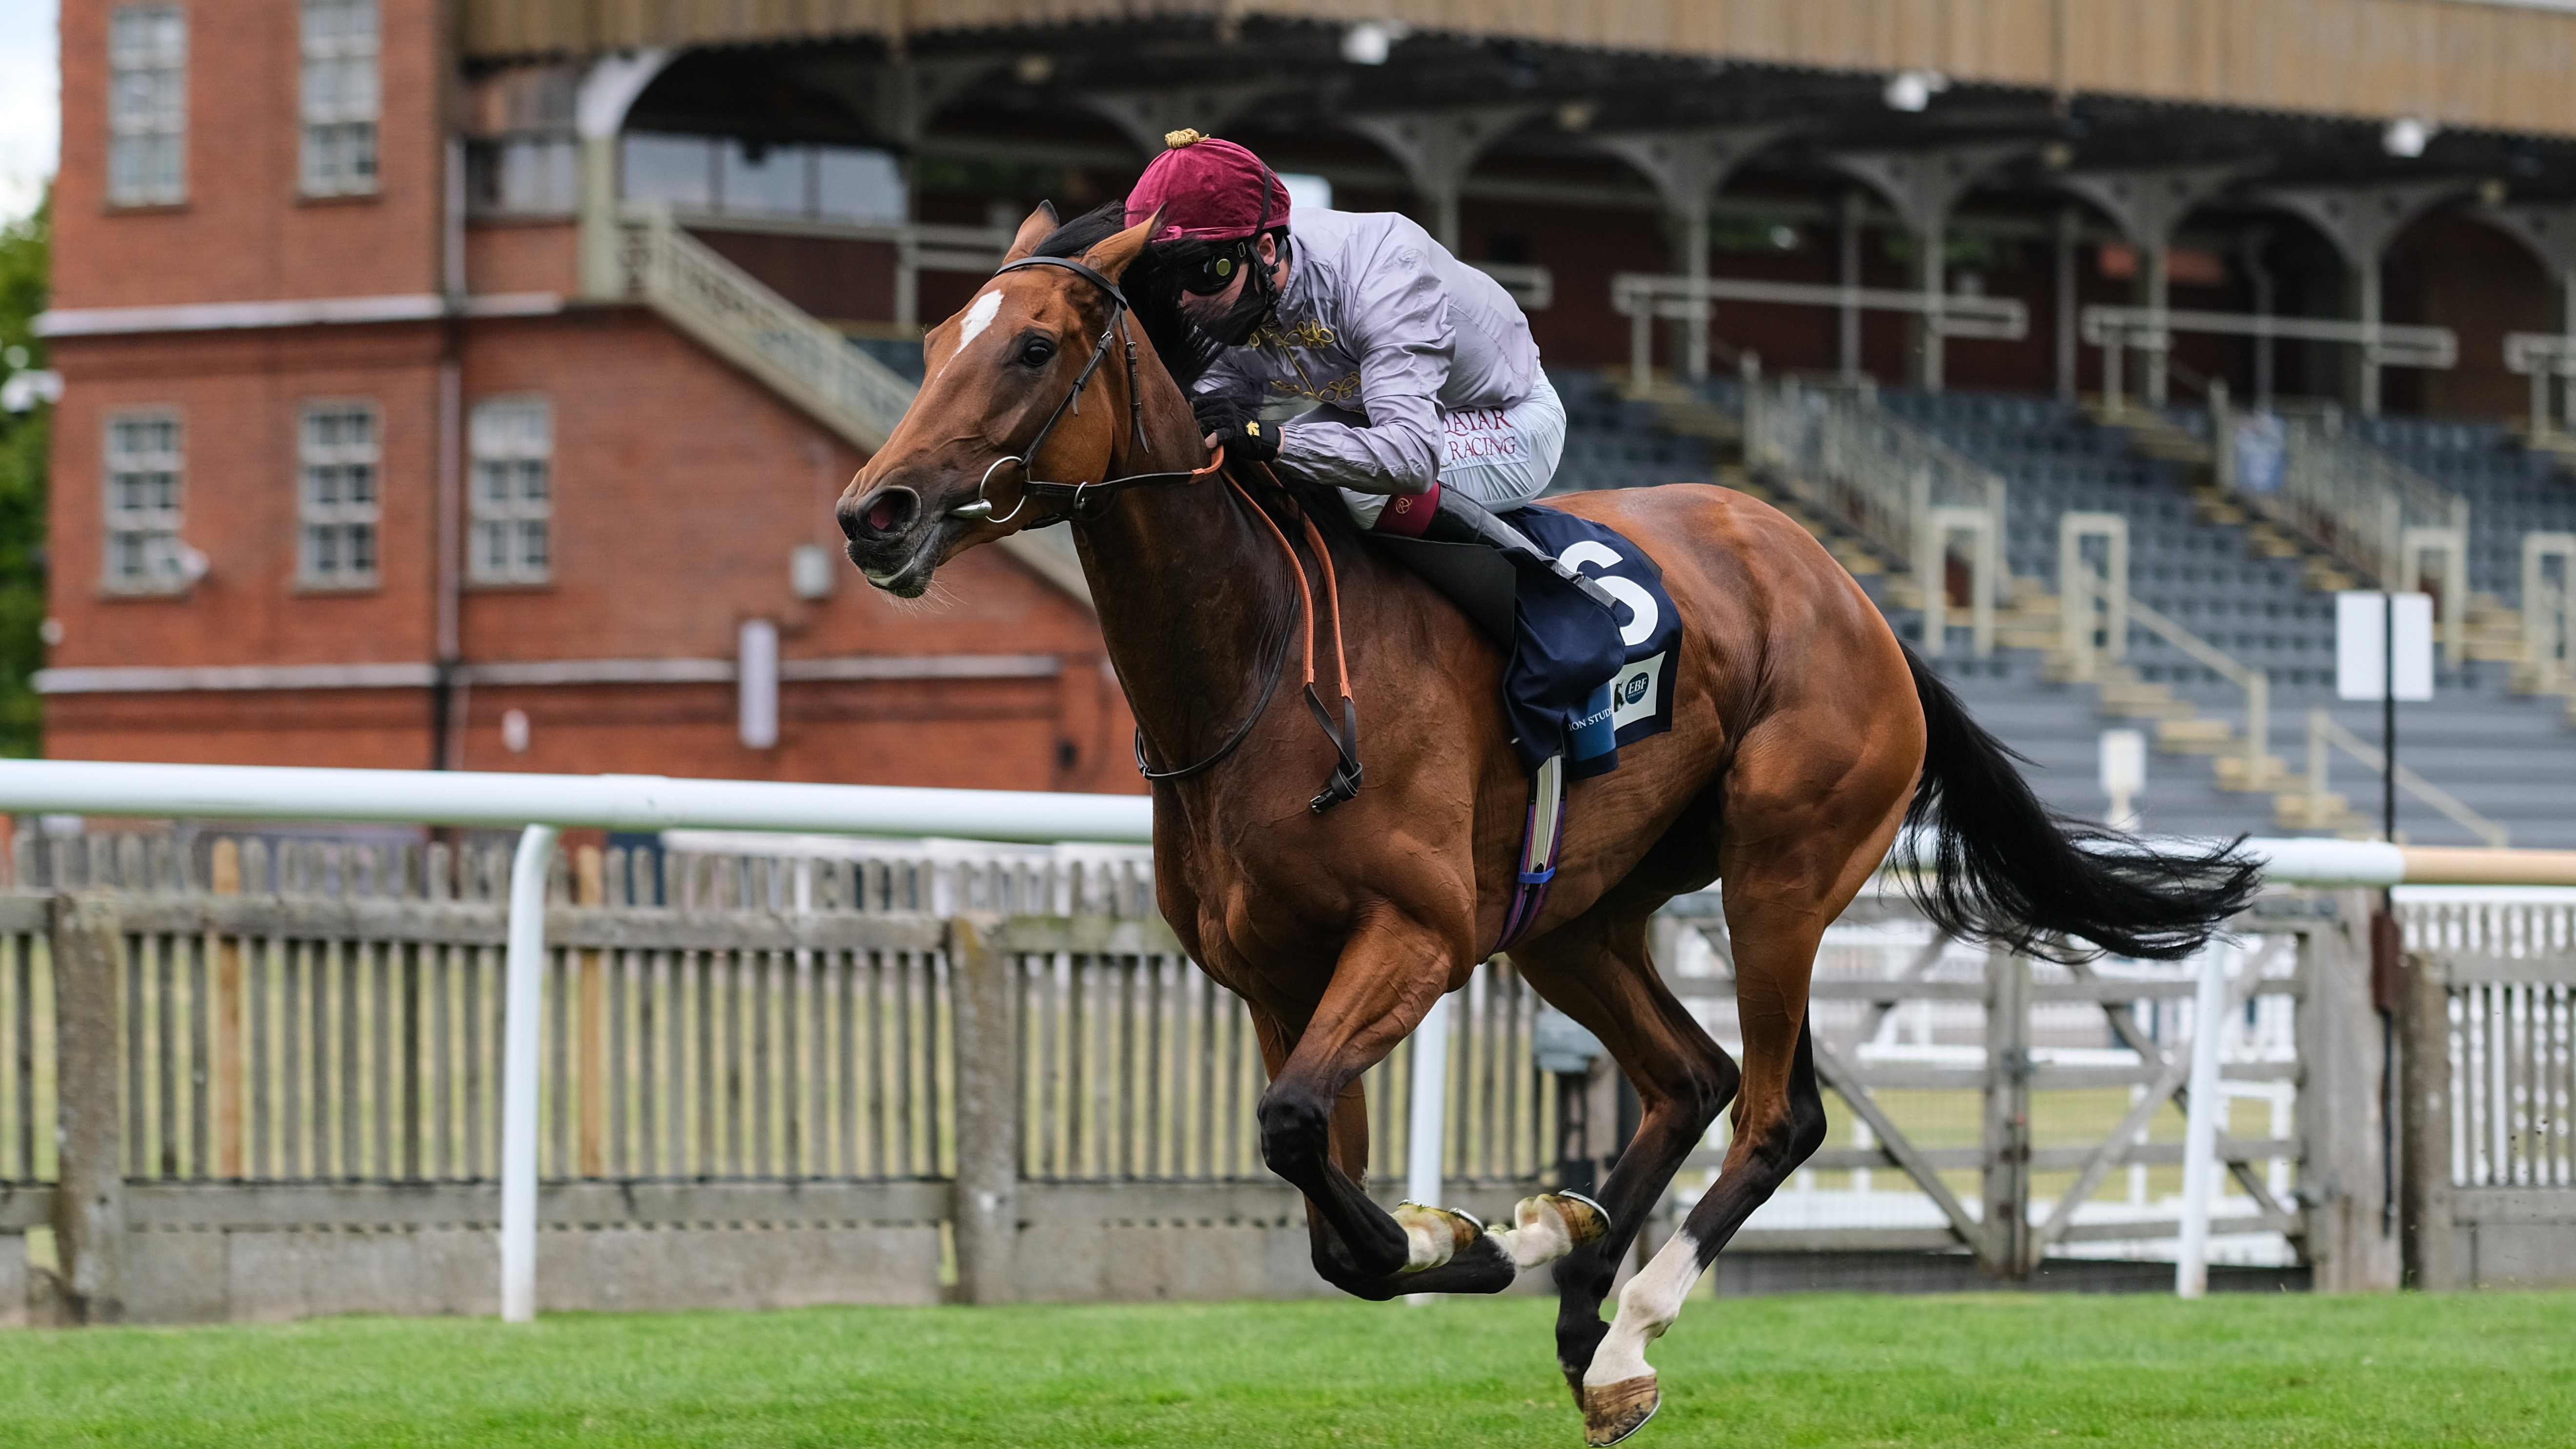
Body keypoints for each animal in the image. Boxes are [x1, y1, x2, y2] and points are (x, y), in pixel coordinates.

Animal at [838, 205, 2257, 1445]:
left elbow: (1300, 1140)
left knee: (1777, 1111)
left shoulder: (1416, 936)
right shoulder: (1274, 978)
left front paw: (1464, 1237)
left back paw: (1623, 1327)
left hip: (1780, 869)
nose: (874, 513)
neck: (1255, 663)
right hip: (1571, 914)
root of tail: (1857, 596)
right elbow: (1323, 1211)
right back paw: (1577, 1270)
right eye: (931, 342)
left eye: (1031, 347)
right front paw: (1476, 1234)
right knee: (1690, 1075)